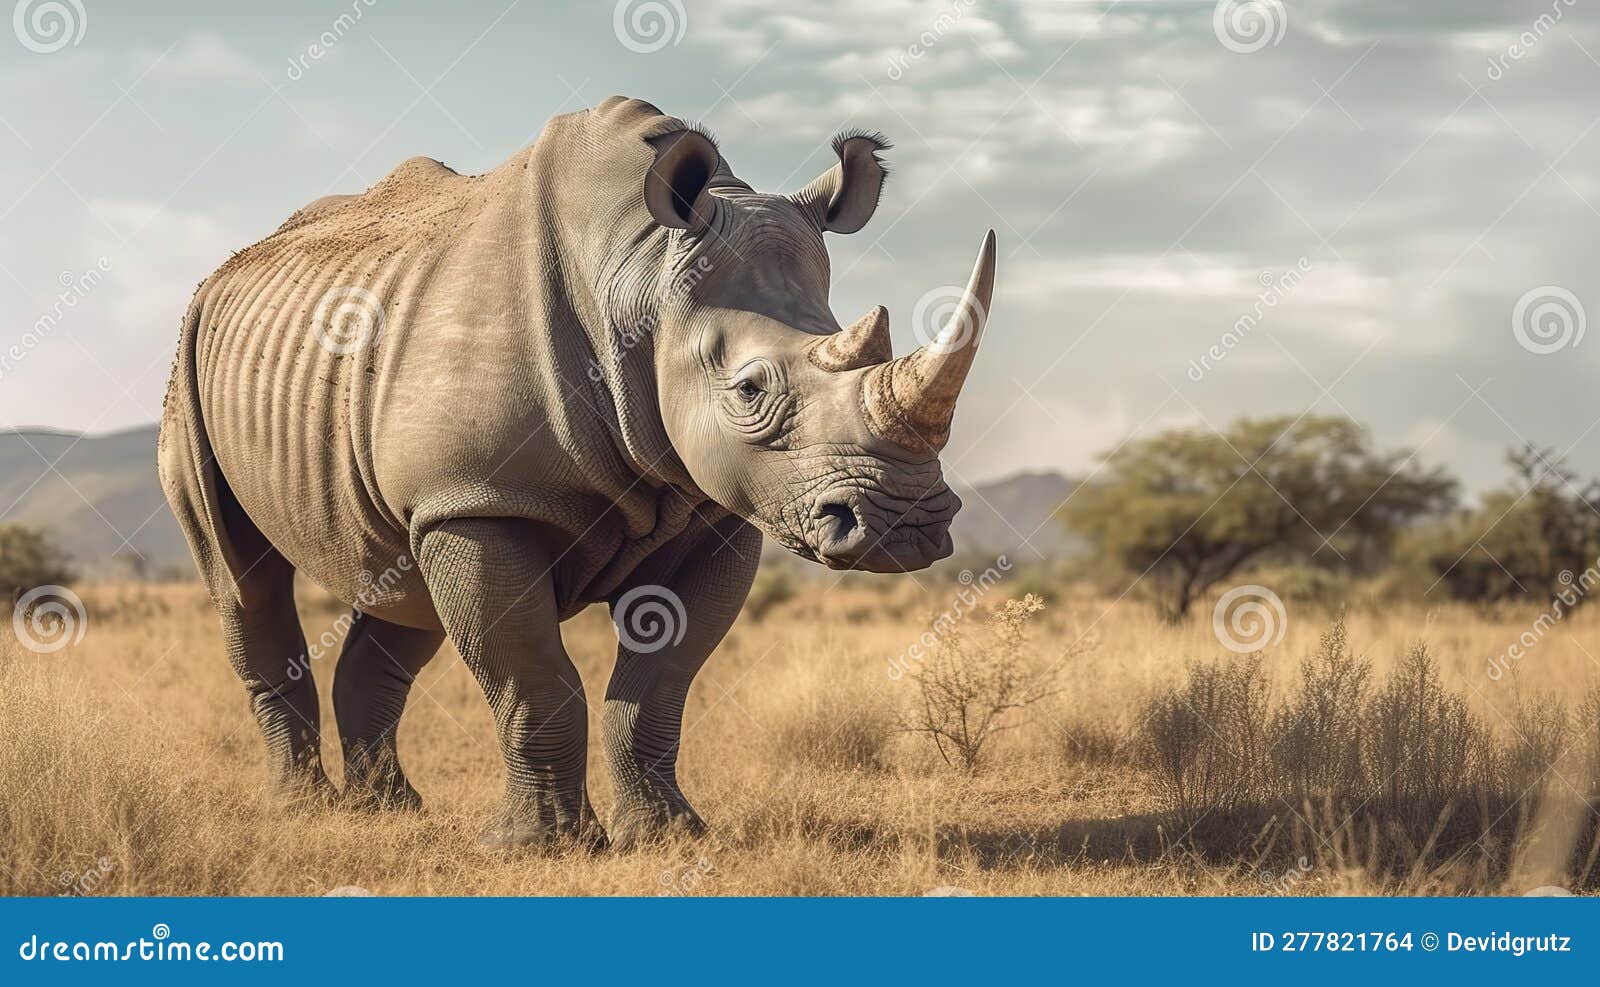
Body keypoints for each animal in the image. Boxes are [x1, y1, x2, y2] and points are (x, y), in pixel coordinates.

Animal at [158, 96, 995, 850]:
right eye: (750, 390)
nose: (907, 523)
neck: (641, 275)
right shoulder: (483, 500)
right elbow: (535, 679)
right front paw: (541, 847)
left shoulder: (713, 513)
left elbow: (657, 685)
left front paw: (668, 835)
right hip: (192, 360)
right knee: (244, 577)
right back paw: (301, 808)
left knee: (400, 583)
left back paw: (389, 811)